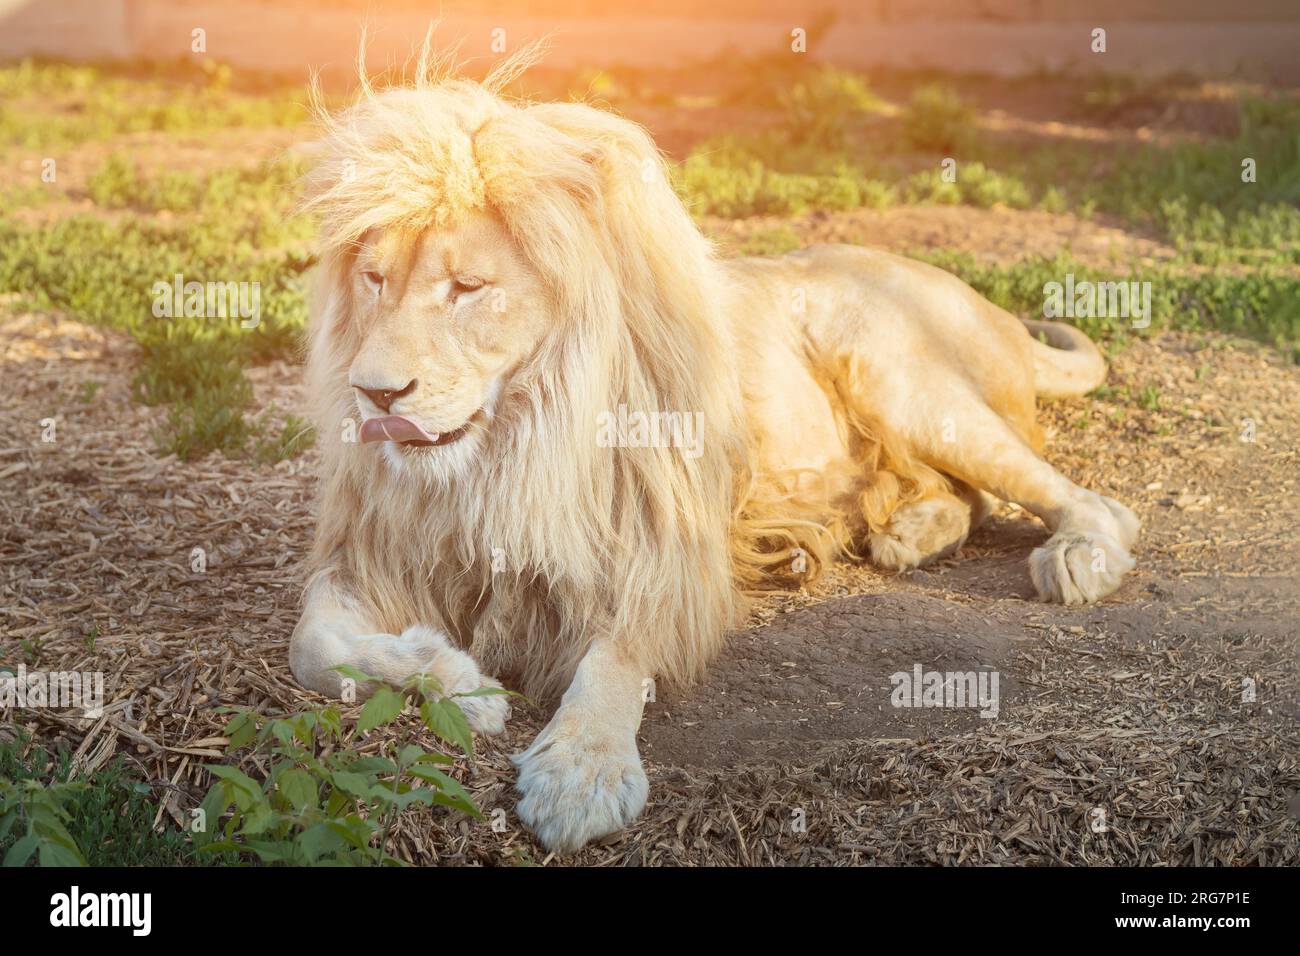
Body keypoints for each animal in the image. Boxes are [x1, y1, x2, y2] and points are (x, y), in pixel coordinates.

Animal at [289, 48, 1139, 853]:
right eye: (374, 279)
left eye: (466, 287)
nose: (374, 394)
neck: (512, 449)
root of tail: (977, 296)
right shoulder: (371, 554)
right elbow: (314, 645)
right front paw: (459, 681)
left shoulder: (656, 556)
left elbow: (613, 664)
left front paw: (580, 772)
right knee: (963, 494)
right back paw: (900, 534)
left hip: (897, 374)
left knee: (1088, 499)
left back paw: (1076, 558)